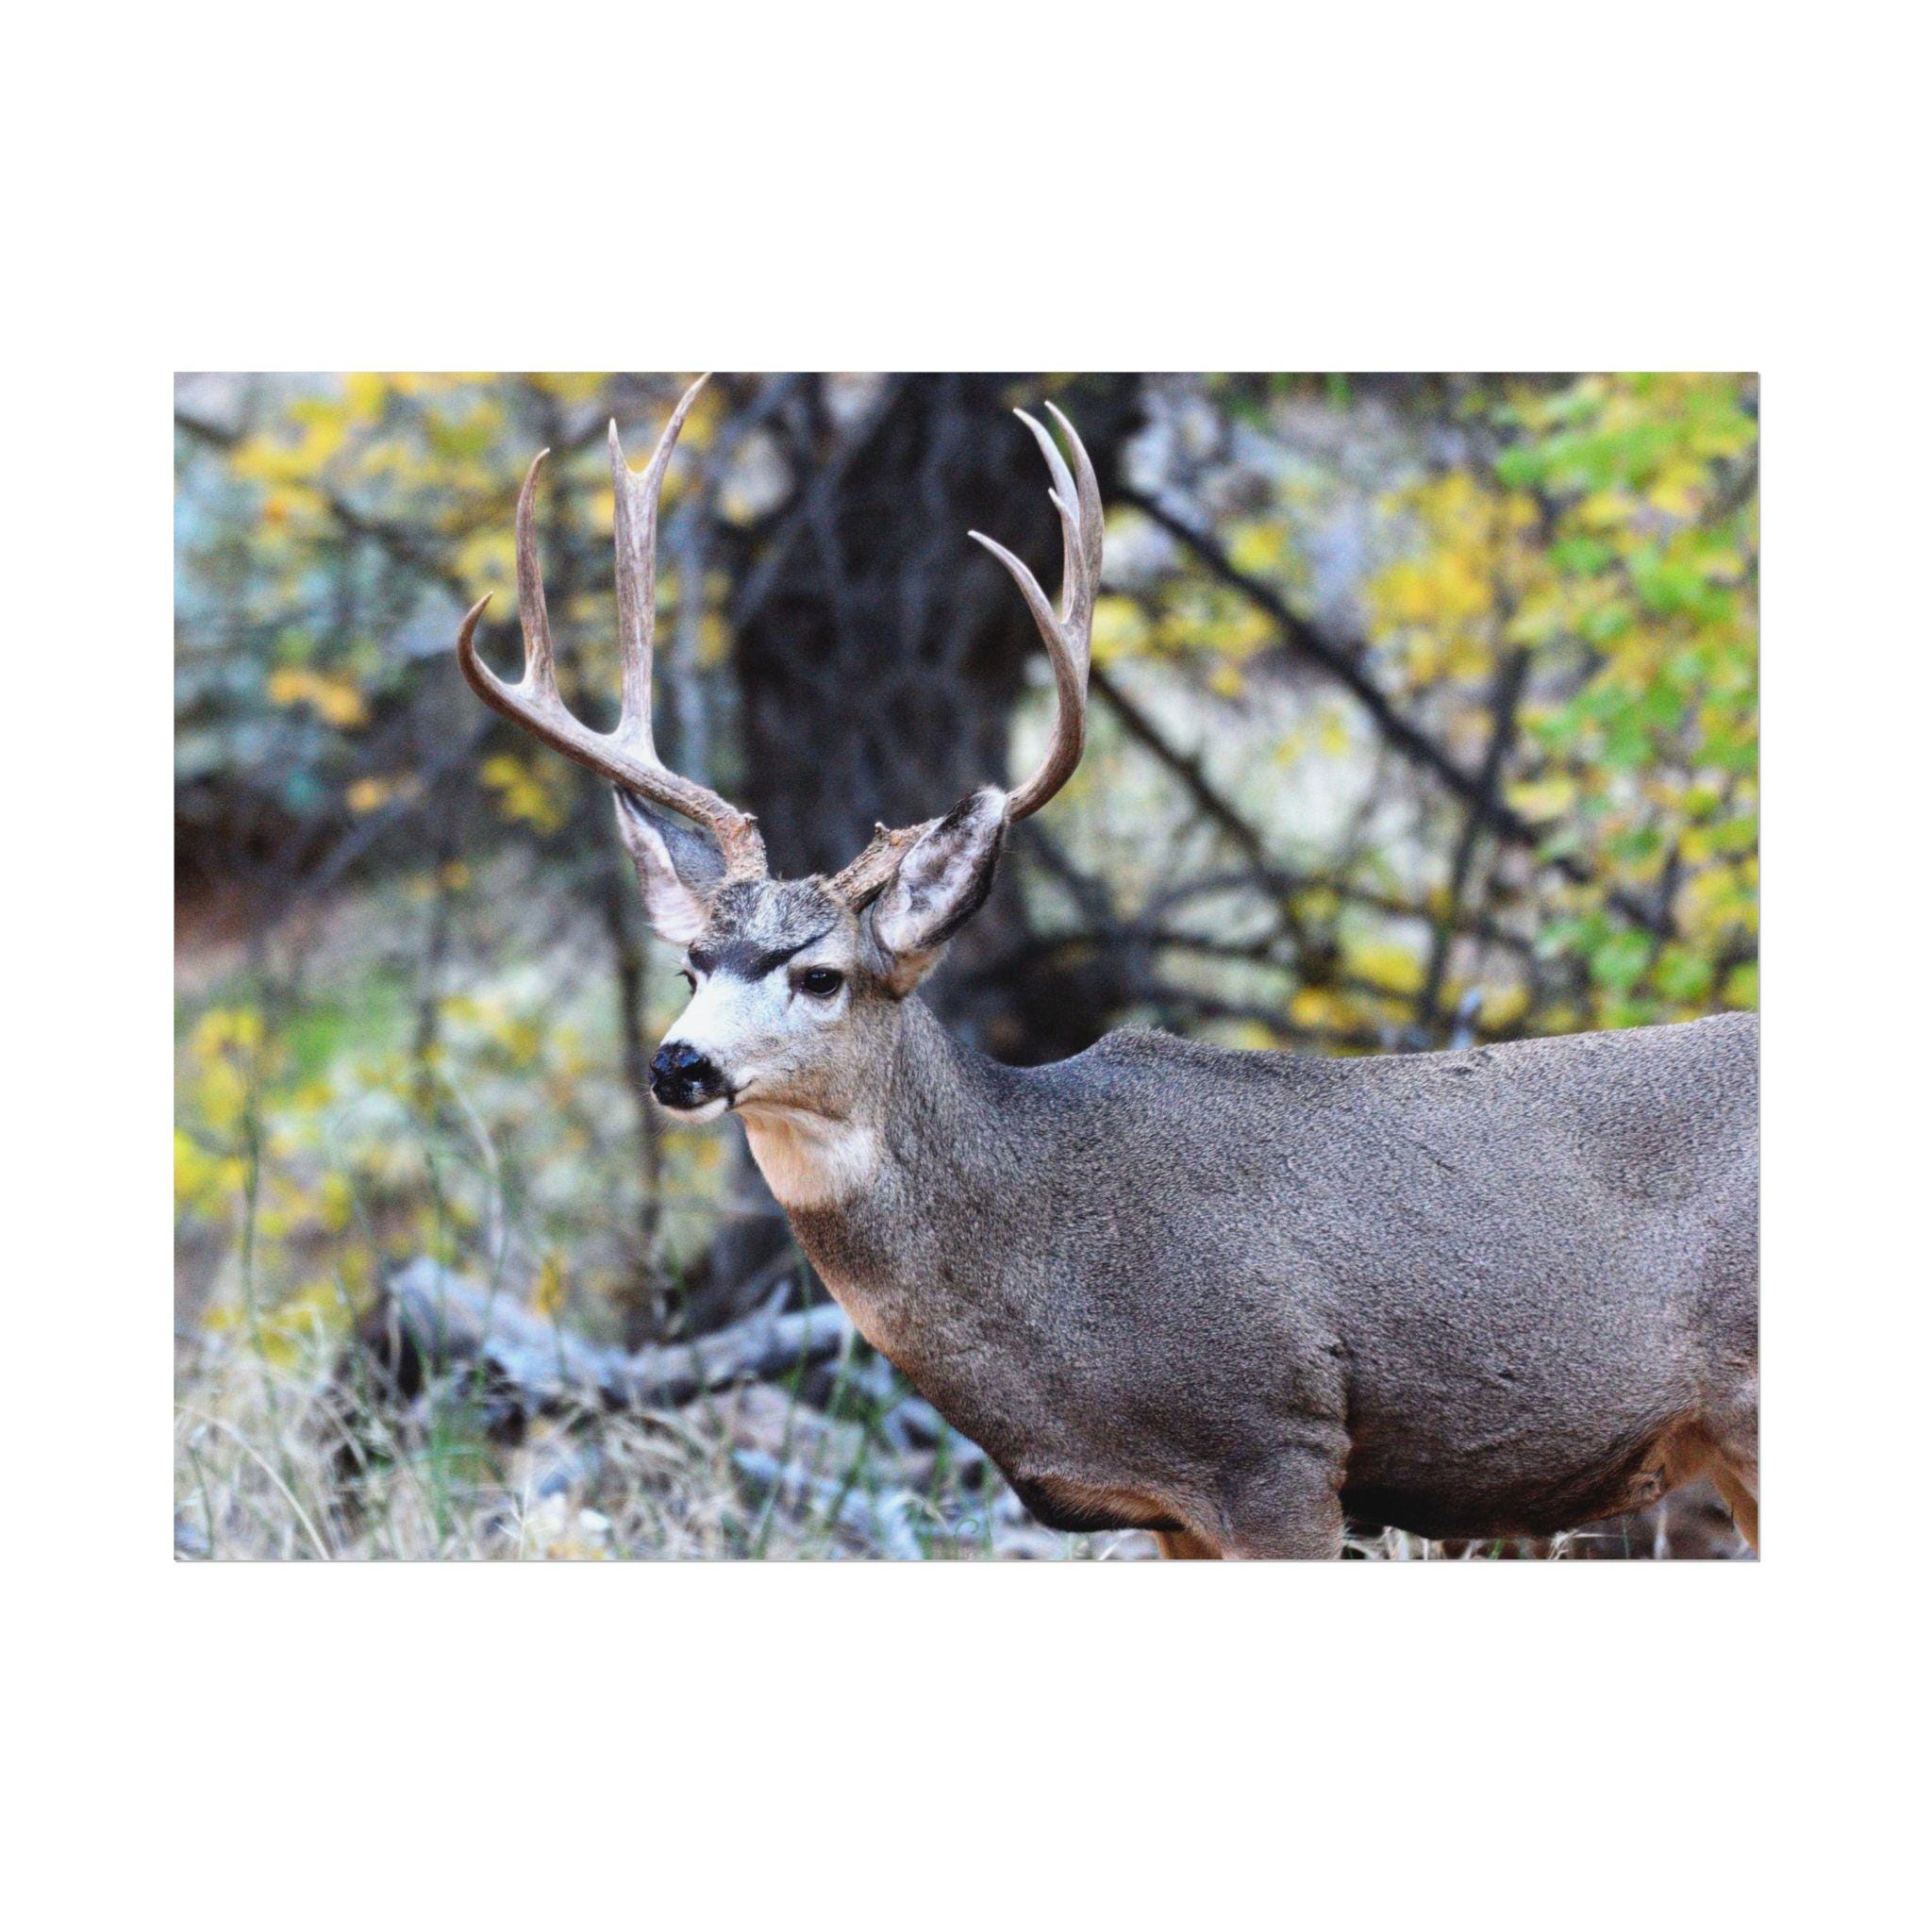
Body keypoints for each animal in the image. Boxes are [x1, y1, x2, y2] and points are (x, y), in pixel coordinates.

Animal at [456, 376, 1760, 1559]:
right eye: (690, 964)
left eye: (819, 973)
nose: (677, 1063)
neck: (1041, 1259)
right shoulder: (1167, 1503)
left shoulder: (1274, 1440)